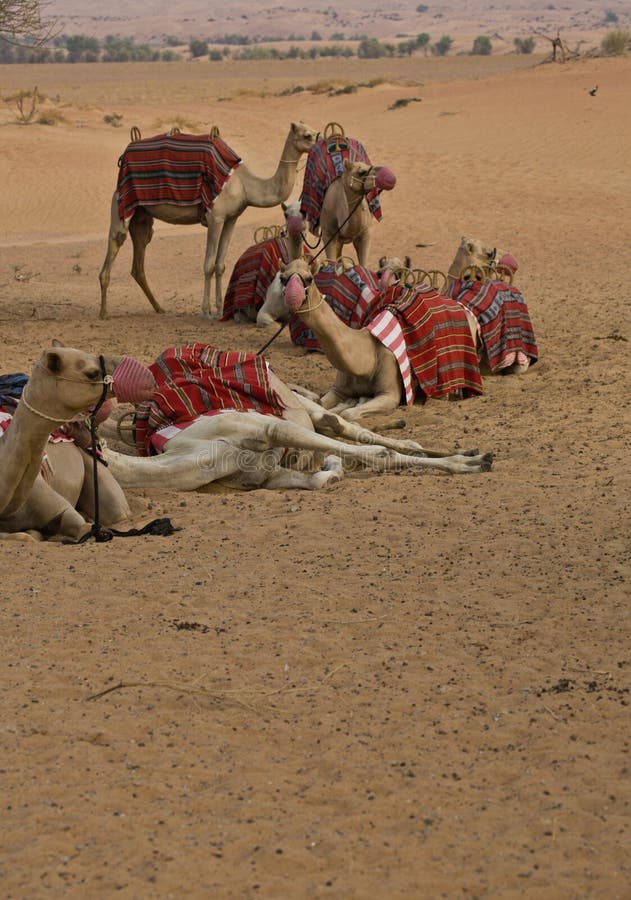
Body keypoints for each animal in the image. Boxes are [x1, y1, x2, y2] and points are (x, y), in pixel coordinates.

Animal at [0, 345, 152, 541]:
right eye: (92, 373)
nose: (147, 376)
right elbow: (24, 536)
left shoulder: (59, 506)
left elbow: (79, 526)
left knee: (117, 510)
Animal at [98, 122, 319, 320]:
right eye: (307, 135)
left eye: (314, 131)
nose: (320, 141)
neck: (245, 185)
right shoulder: (215, 217)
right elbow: (209, 264)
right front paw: (206, 311)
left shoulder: (231, 219)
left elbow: (220, 265)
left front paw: (220, 309)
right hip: (122, 204)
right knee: (116, 239)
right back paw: (103, 312)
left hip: (142, 216)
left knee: (139, 257)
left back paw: (159, 308)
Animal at [102, 344, 492, 492]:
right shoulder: (267, 476)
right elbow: (316, 480)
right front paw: (331, 467)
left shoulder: (268, 426)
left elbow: (379, 455)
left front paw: (469, 465)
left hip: (290, 397)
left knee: (344, 425)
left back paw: (469, 455)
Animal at [280, 258, 482, 421]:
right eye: (282, 278)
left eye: (309, 278)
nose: (292, 297)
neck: (366, 356)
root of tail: (466, 310)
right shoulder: (338, 389)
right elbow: (321, 404)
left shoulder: (389, 392)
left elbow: (349, 413)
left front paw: (352, 404)